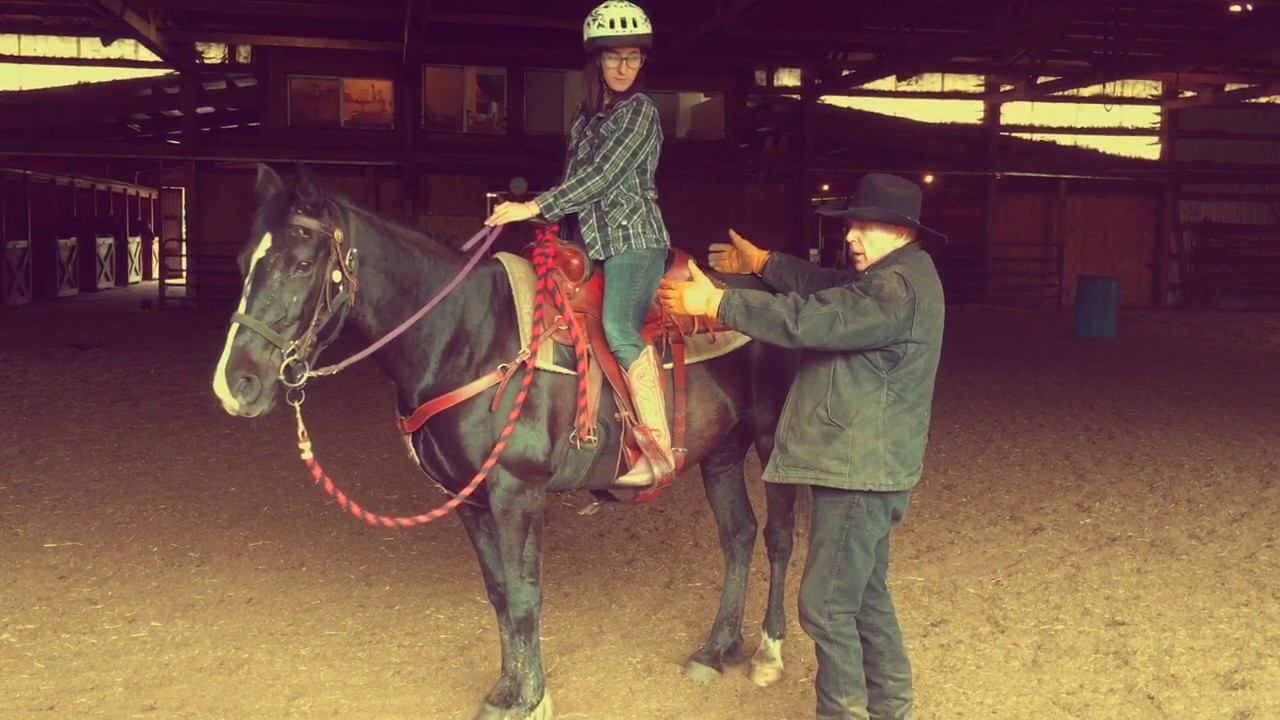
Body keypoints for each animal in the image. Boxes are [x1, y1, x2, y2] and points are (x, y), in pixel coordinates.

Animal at [211, 163, 803, 720]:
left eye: (301, 264)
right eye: (242, 263)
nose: (236, 384)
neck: (464, 336)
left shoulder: (518, 492)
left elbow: (525, 597)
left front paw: (534, 698)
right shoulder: (470, 499)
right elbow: (499, 595)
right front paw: (507, 690)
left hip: (770, 440)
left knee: (778, 539)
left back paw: (768, 653)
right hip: (722, 452)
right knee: (738, 535)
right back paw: (716, 649)